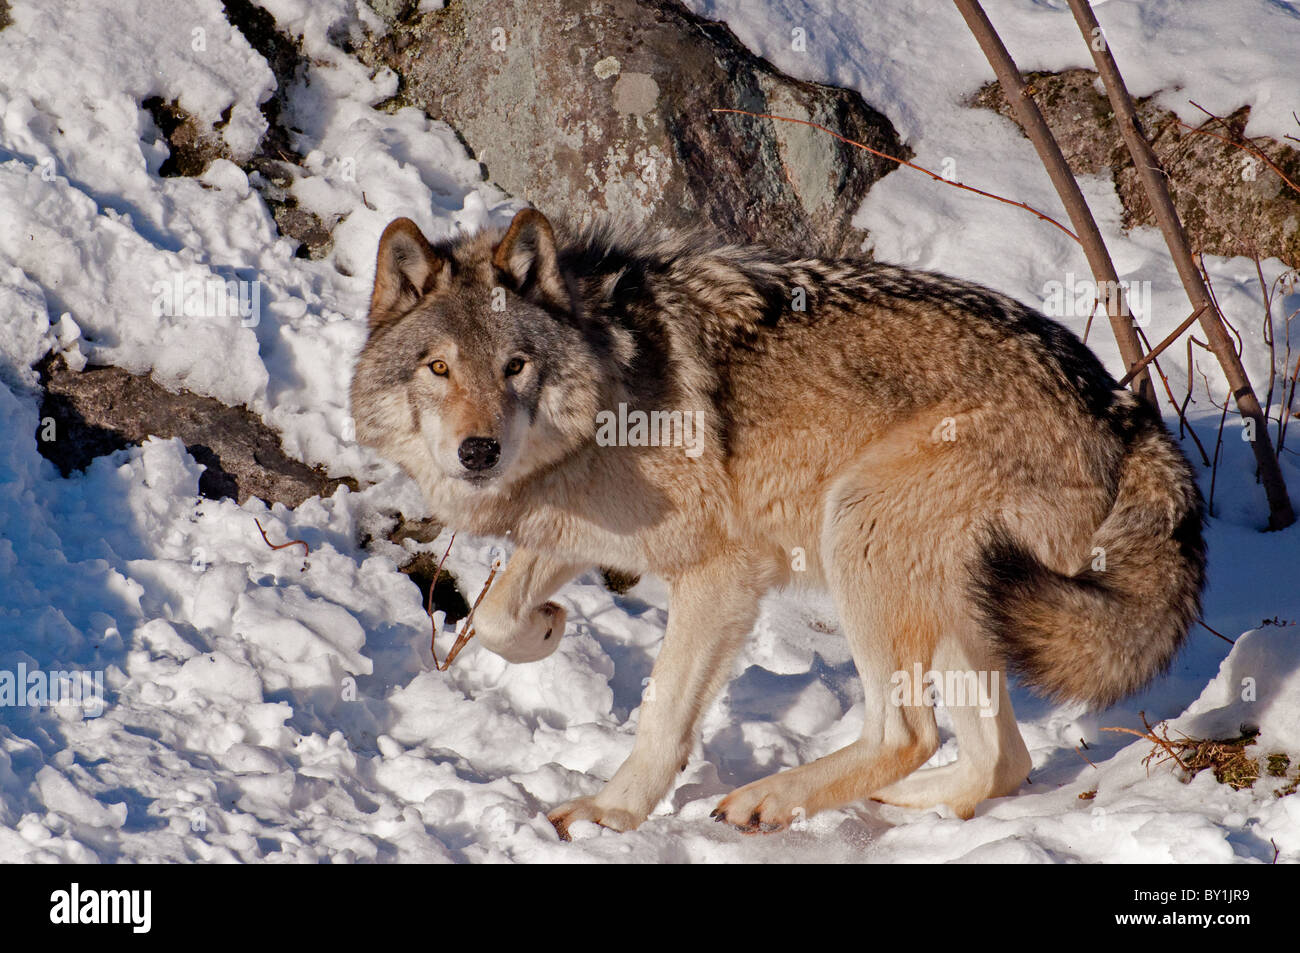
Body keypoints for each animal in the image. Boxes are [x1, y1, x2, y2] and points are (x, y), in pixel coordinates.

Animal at [349, 208, 1205, 837]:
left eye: (515, 366)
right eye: (438, 367)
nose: (479, 450)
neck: (607, 390)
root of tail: (1129, 412)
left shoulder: (721, 575)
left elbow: (662, 715)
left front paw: (609, 812)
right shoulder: (580, 532)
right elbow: (496, 613)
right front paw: (548, 626)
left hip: (859, 531)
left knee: (909, 733)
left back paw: (768, 799)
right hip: (969, 599)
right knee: (1003, 758)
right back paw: (902, 806)